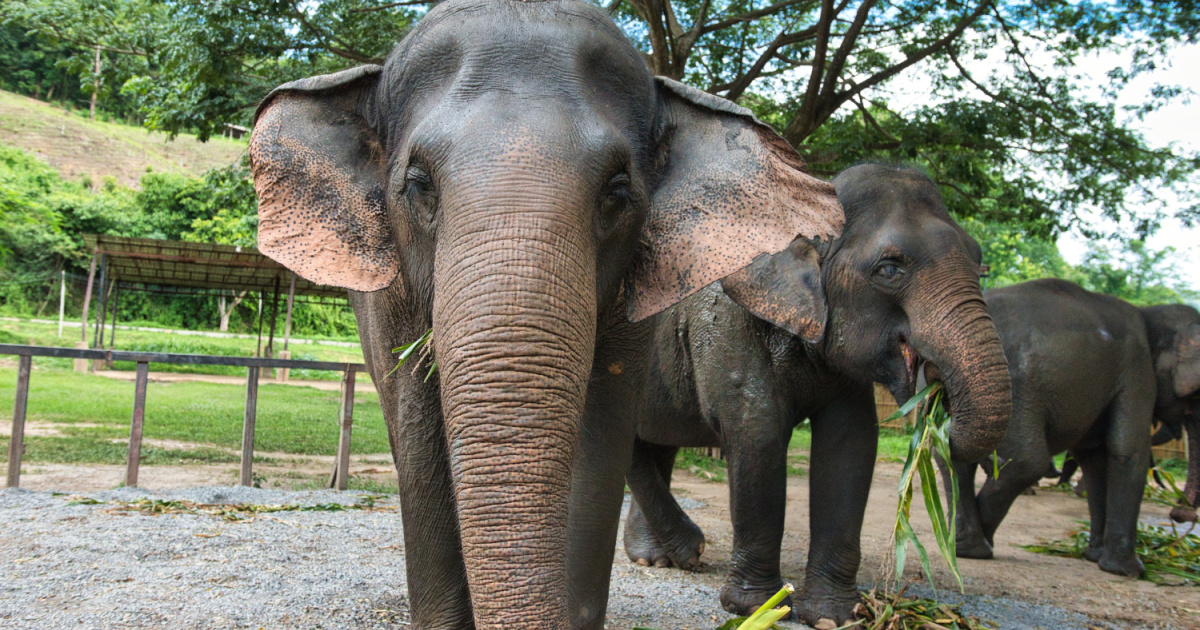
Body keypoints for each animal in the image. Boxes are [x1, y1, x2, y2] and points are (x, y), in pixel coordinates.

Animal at [622, 164, 1012, 625]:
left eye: (977, 259)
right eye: (890, 269)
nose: (937, 389)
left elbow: (850, 446)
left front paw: (833, 616)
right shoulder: (732, 329)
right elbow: (758, 437)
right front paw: (759, 607)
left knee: (656, 442)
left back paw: (656, 558)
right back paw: (689, 549)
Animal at [945, 280, 1200, 577]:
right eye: (1197, 395)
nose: (1180, 514)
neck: (1151, 315)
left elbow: (1095, 458)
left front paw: (1095, 557)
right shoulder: (1138, 370)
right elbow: (1128, 451)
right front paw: (1129, 571)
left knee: (953, 453)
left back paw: (965, 546)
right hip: (1017, 388)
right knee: (1025, 462)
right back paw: (976, 546)